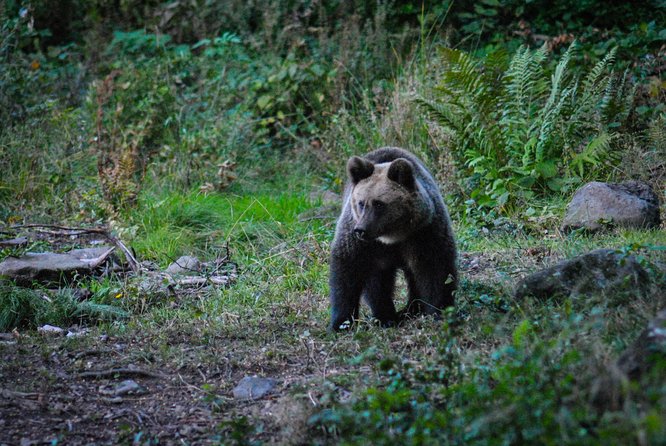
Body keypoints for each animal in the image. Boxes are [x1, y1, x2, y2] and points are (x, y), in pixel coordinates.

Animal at [328, 146, 457, 331]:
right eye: (361, 203)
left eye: (379, 203)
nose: (361, 230)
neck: (392, 236)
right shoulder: (361, 243)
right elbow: (347, 272)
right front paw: (342, 323)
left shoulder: (424, 233)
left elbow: (435, 269)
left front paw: (438, 311)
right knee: (377, 282)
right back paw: (386, 316)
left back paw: (411, 309)